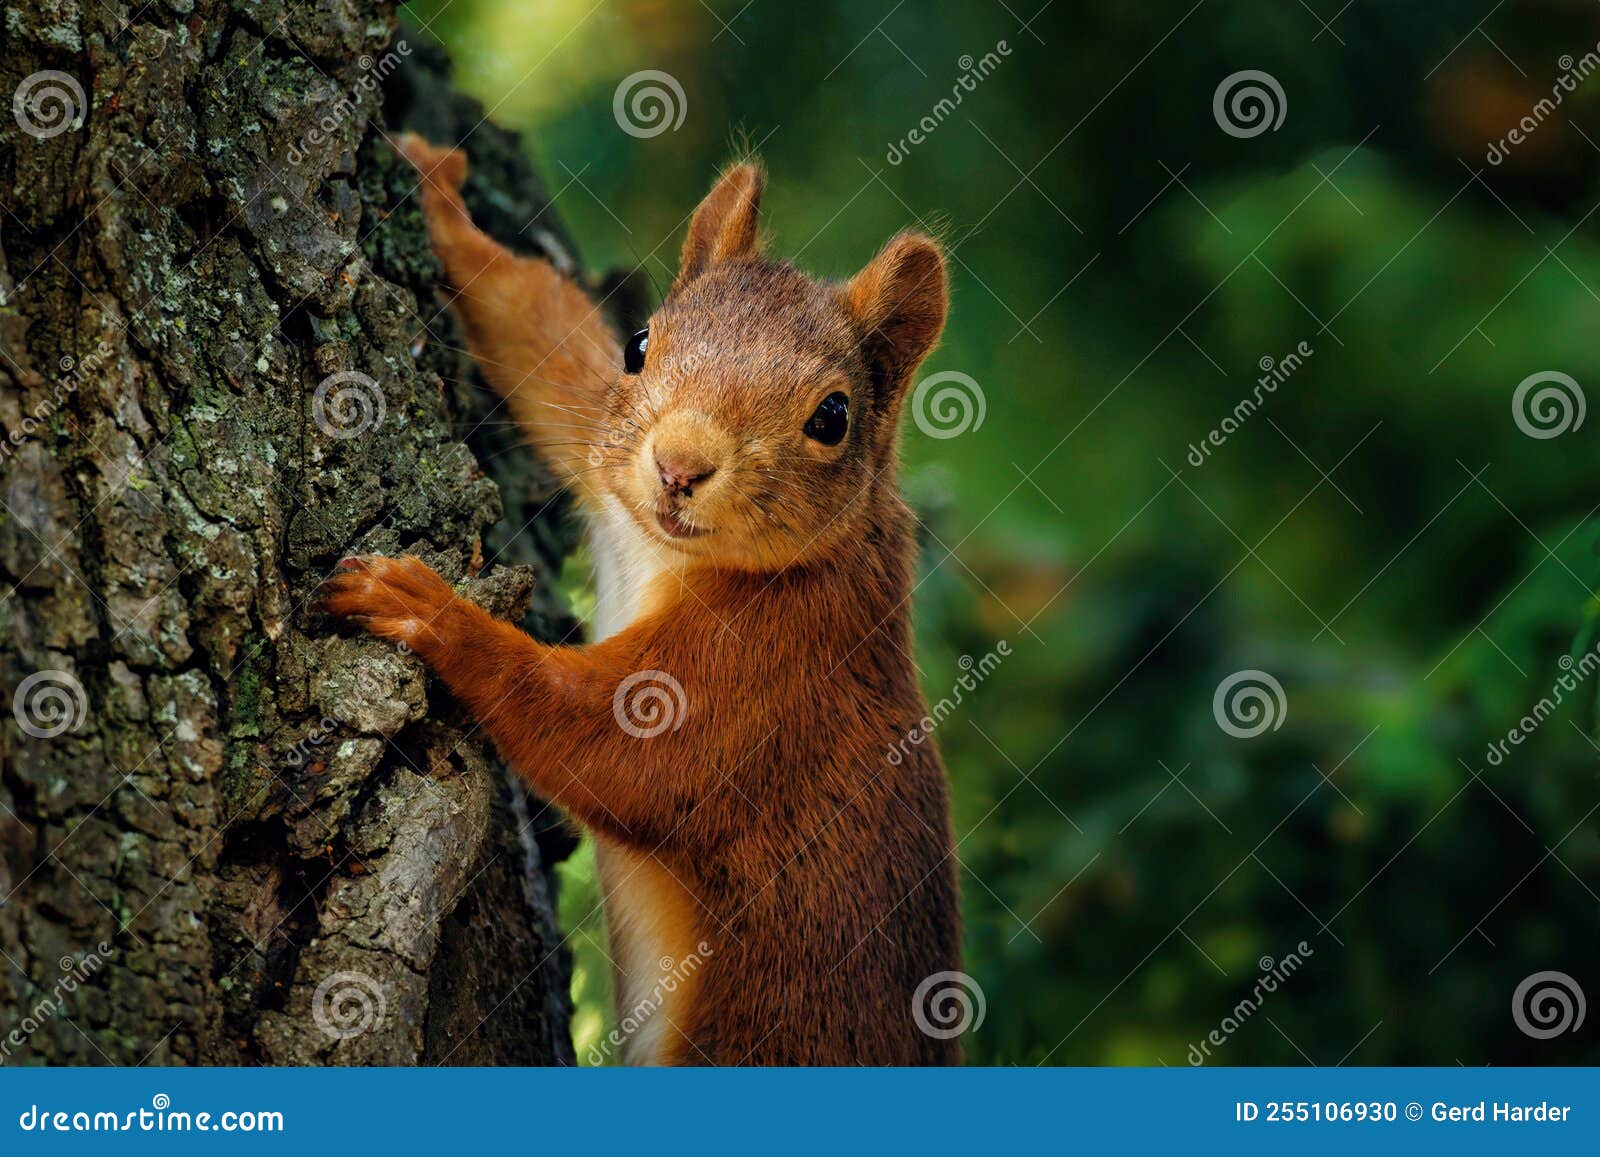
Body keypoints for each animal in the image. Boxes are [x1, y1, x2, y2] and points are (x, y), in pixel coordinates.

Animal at [318, 133, 961, 1065]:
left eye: (832, 417)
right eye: (638, 343)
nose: (678, 466)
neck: (664, 549)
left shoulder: (768, 671)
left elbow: (613, 745)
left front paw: (426, 607)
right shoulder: (597, 440)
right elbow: (538, 332)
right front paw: (440, 200)